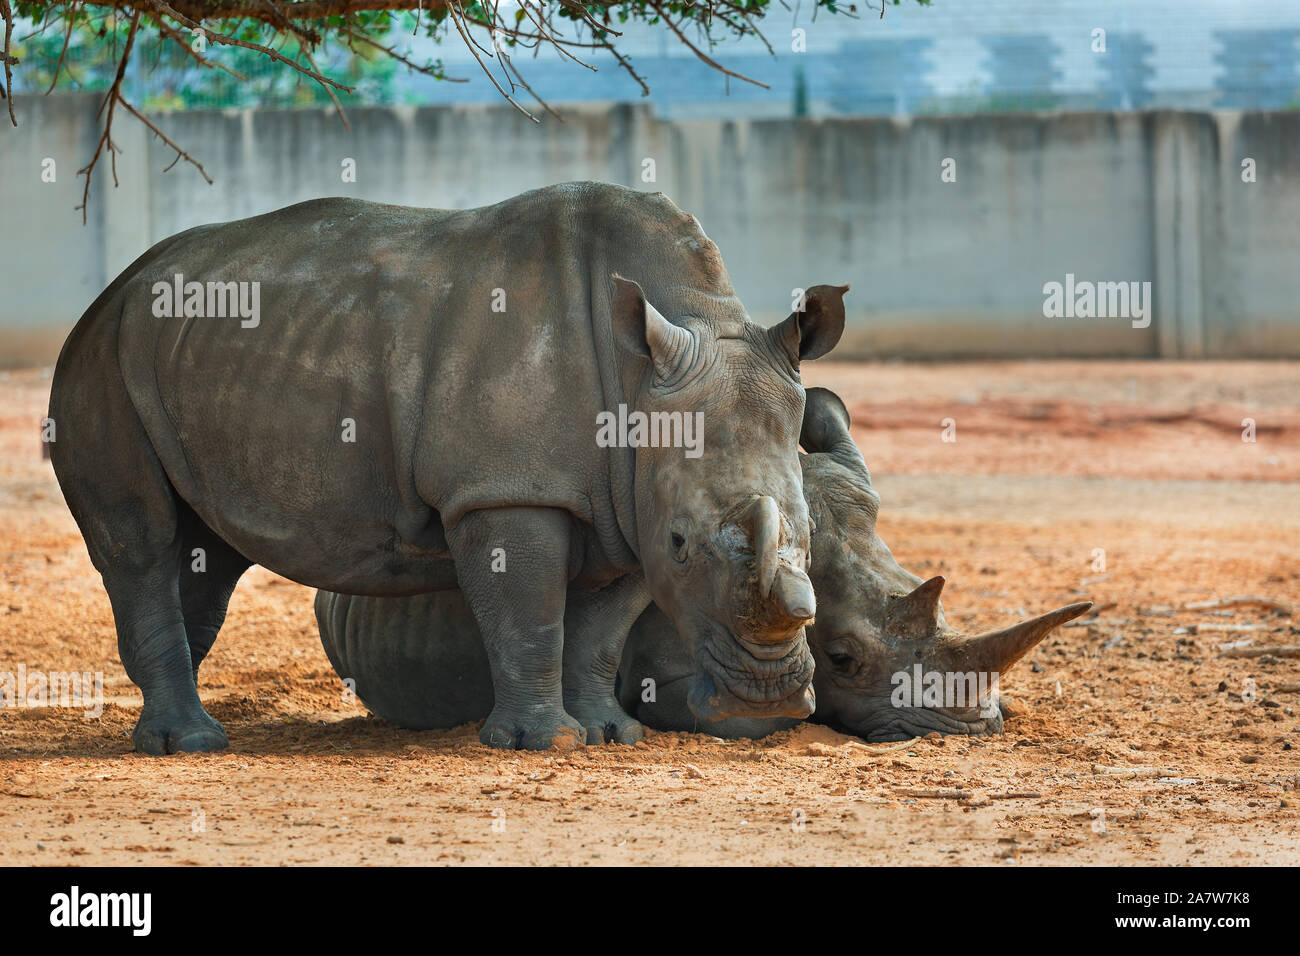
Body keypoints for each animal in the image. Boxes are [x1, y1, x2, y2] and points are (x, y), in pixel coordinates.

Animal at [49, 182, 848, 754]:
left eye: (811, 533)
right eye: (684, 543)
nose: (770, 700)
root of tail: (113, 288)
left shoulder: (628, 499)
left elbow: (600, 629)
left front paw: (613, 736)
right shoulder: (505, 490)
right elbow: (529, 613)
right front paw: (544, 744)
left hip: (168, 355)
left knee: (205, 554)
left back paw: (177, 727)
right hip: (100, 361)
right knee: (144, 542)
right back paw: (187, 744)